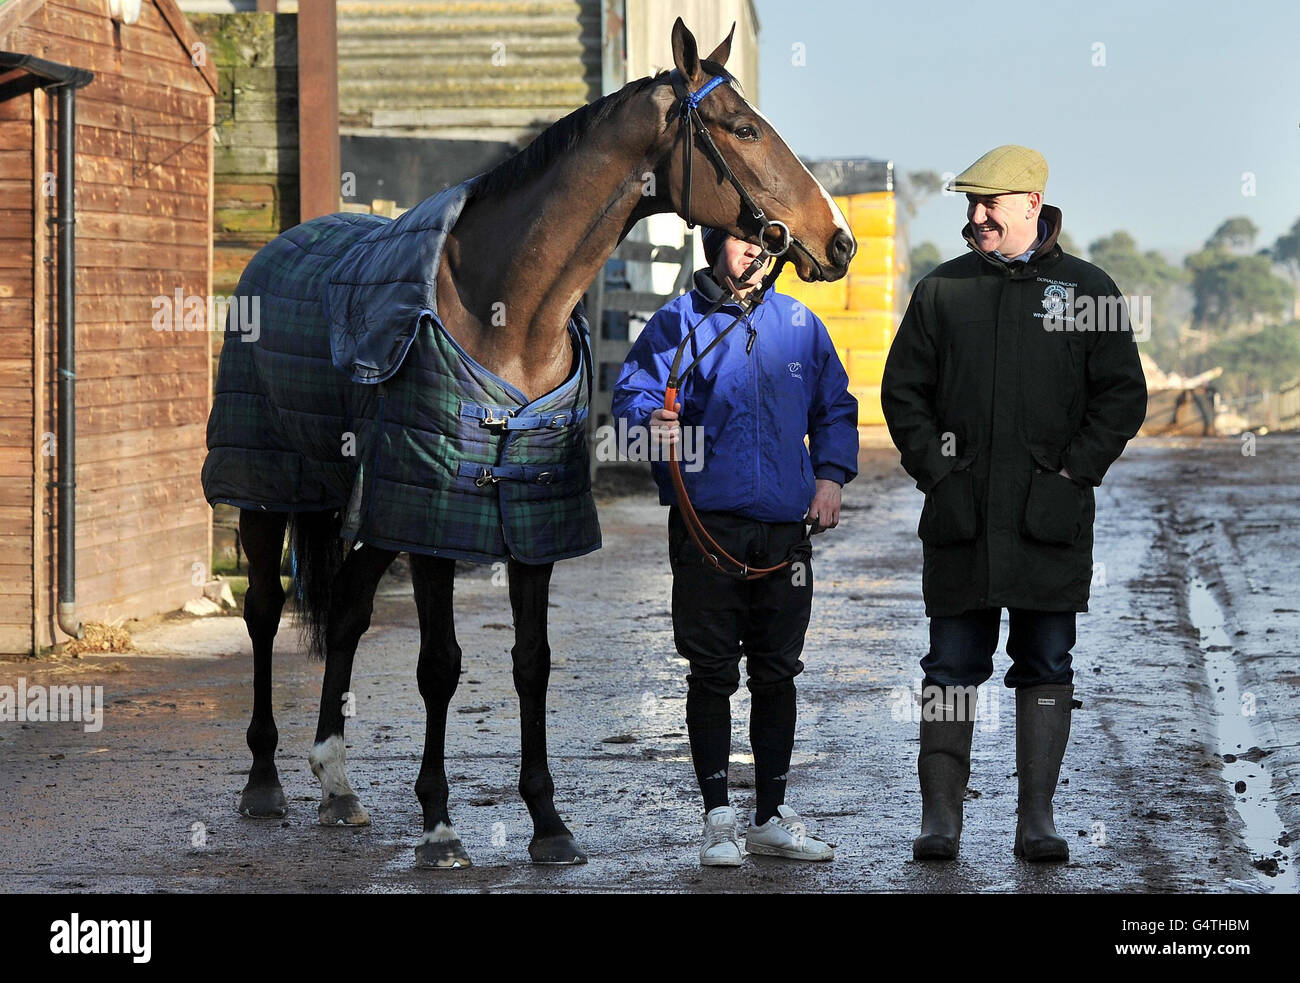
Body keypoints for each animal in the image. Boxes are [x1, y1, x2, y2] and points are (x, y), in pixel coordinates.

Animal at [207, 18, 856, 868]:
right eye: (742, 129)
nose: (838, 240)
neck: (505, 310)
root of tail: (276, 250)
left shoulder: (527, 519)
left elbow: (532, 663)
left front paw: (548, 824)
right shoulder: (439, 523)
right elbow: (440, 666)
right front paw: (440, 825)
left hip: (376, 508)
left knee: (346, 608)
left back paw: (338, 783)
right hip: (268, 491)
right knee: (262, 607)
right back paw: (263, 781)